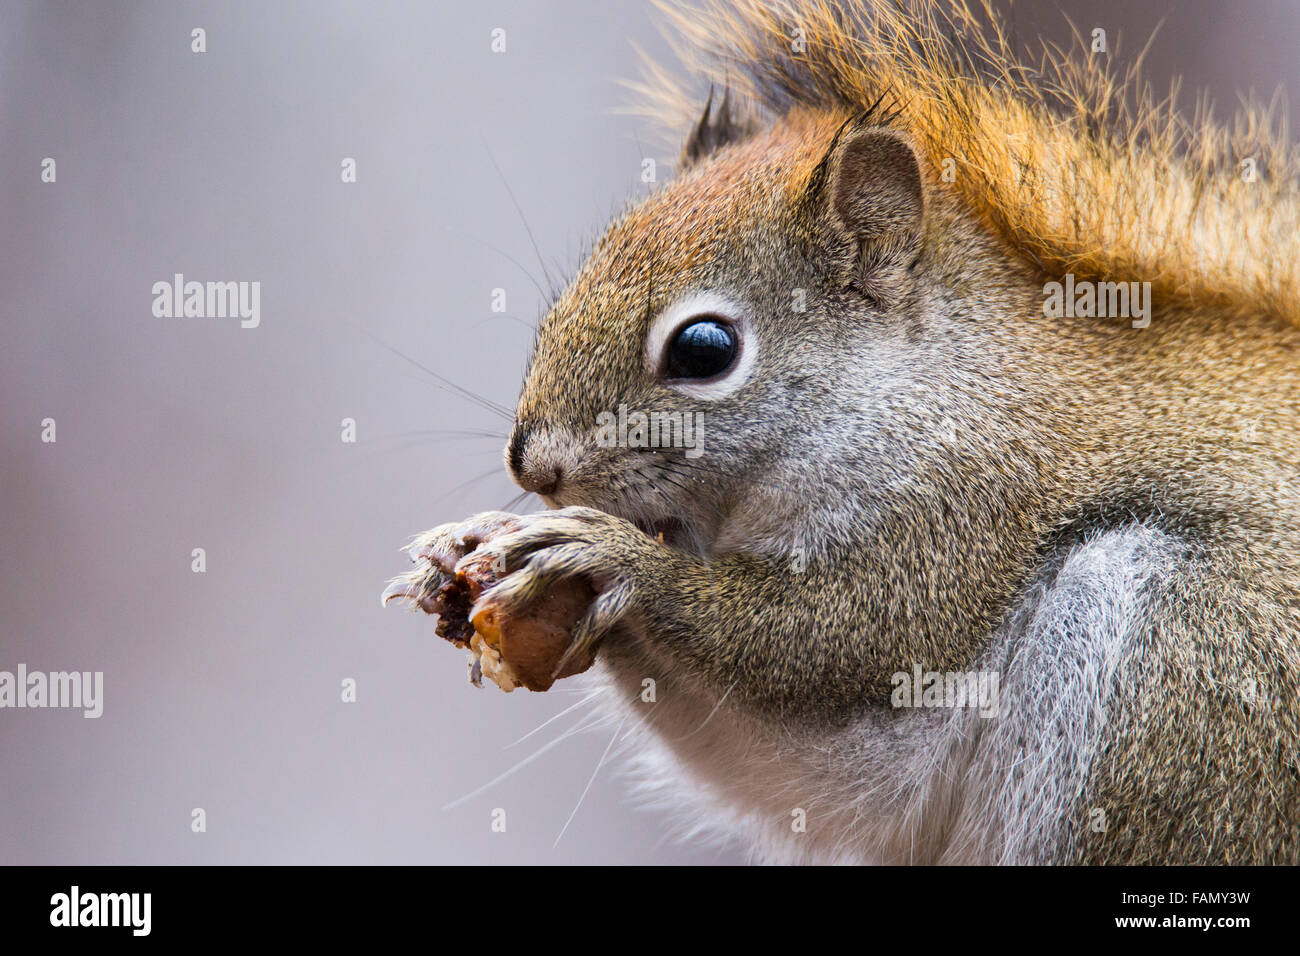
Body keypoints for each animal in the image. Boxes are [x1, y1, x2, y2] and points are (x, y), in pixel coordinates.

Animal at [391, 0, 1300, 864]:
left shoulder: (962, 512)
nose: (534, 466)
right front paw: (464, 551)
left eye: (704, 350)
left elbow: (821, 641)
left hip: (1178, 681)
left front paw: (607, 557)